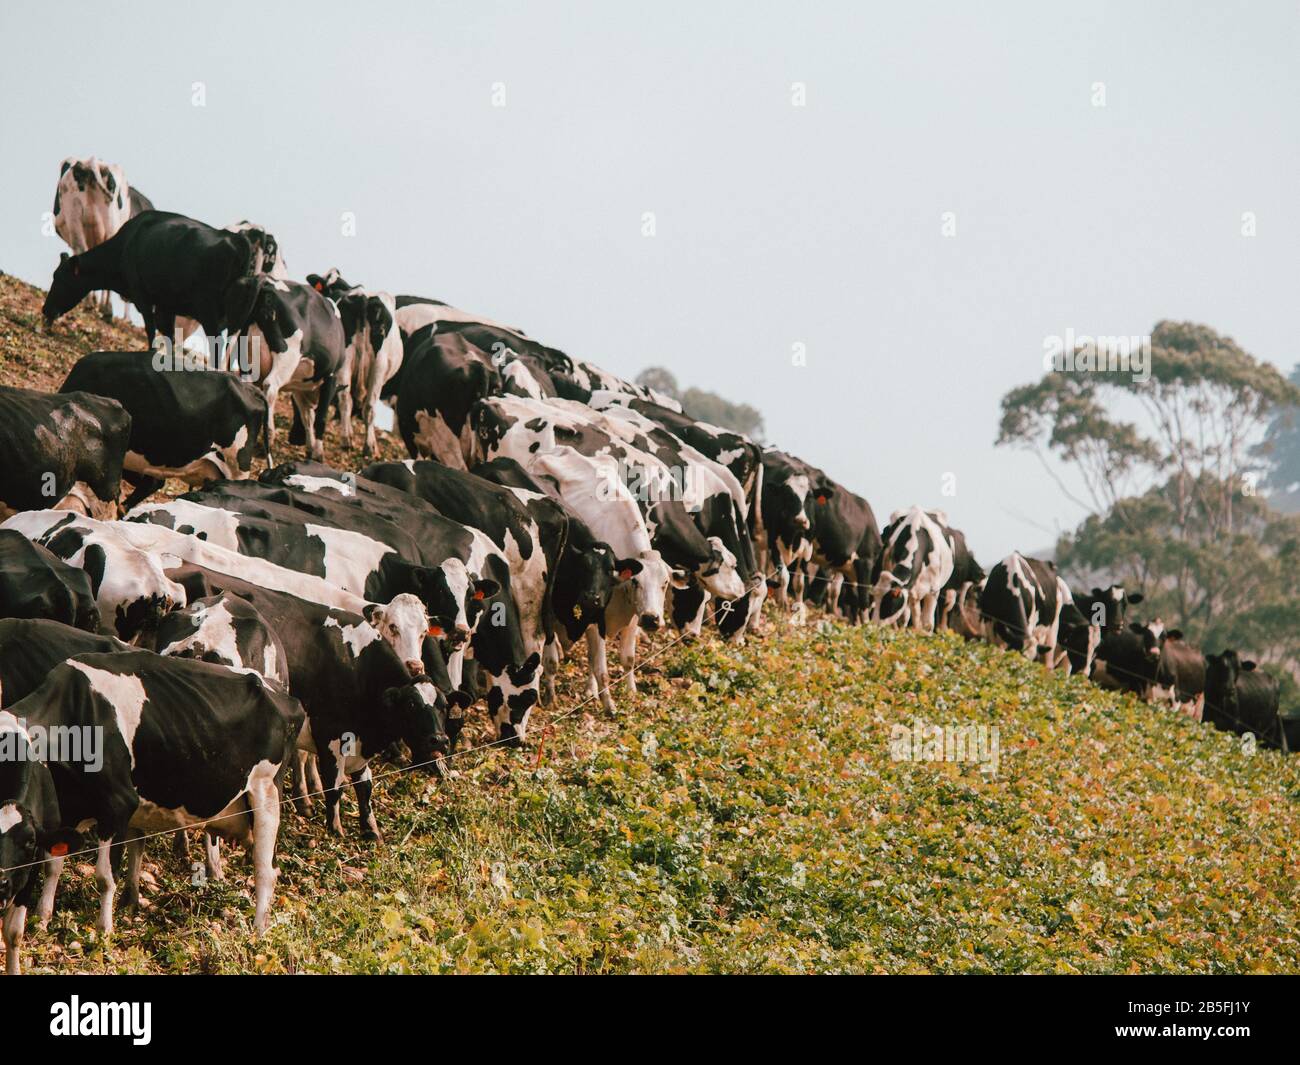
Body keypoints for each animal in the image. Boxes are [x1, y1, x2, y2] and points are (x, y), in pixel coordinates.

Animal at [7, 650, 305, 943]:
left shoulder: (118, 805)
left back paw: (258, 932)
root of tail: (282, 692)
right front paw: (42, 919)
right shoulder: (69, 807)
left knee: (265, 870)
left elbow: (105, 876)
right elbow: (52, 864)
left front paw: (104, 931)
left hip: (266, 793)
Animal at [42, 210, 257, 347]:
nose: (45, 309)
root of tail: (236, 238)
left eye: (61, 279)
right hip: (238, 317)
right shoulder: (166, 305)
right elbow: (168, 335)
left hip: (207, 308)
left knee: (217, 341)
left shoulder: (141, 295)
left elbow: (150, 329)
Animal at [221, 277, 345, 462]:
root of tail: (265, 280)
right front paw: (318, 453)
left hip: (240, 345)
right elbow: (320, 417)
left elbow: (307, 417)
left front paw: (310, 449)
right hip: (287, 354)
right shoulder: (332, 376)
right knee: (270, 387)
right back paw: (268, 440)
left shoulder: (299, 388)